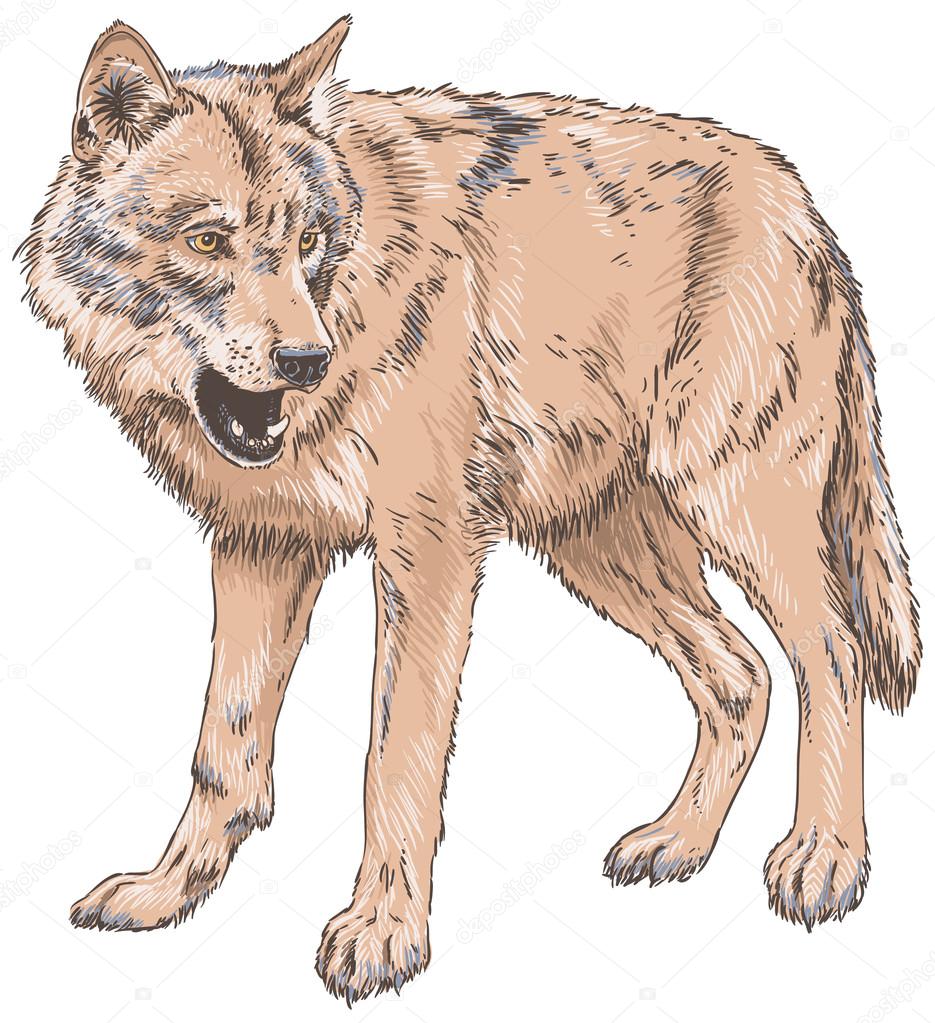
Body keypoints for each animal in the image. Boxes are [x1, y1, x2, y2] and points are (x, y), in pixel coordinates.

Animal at [20, 15, 920, 1002]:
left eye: (308, 241)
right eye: (208, 240)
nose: (306, 361)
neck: (353, 295)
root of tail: (798, 197)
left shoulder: (430, 549)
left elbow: (395, 760)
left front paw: (383, 932)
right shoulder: (264, 543)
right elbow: (226, 748)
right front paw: (168, 893)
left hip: (730, 502)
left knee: (831, 651)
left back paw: (825, 858)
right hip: (596, 548)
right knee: (739, 673)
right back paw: (678, 841)